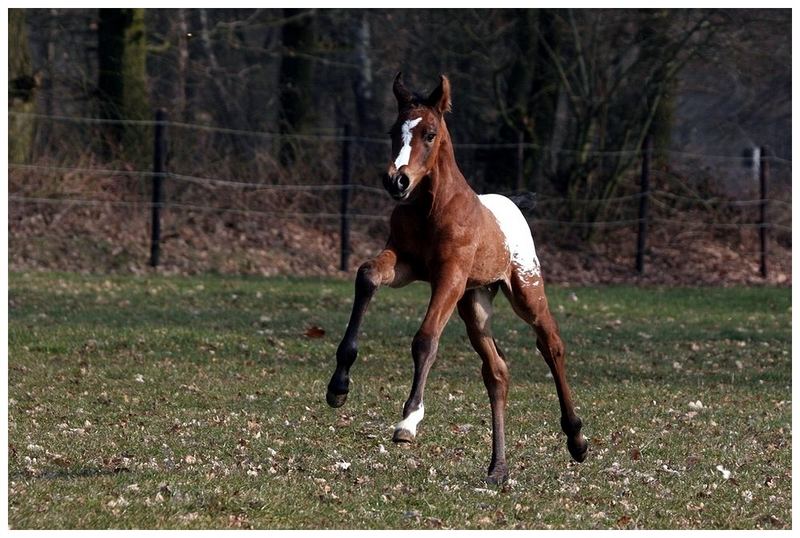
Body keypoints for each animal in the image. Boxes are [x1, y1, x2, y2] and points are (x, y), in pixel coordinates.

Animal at [326, 72, 588, 484]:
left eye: (430, 134)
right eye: (393, 131)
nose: (396, 181)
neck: (431, 207)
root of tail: (514, 204)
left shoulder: (448, 276)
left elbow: (425, 338)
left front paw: (408, 420)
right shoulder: (405, 264)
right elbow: (367, 276)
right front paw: (338, 386)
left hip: (526, 290)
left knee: (551, 344)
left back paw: (576, 439)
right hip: (474, 305)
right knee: (496, 371)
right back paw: (497, 469)